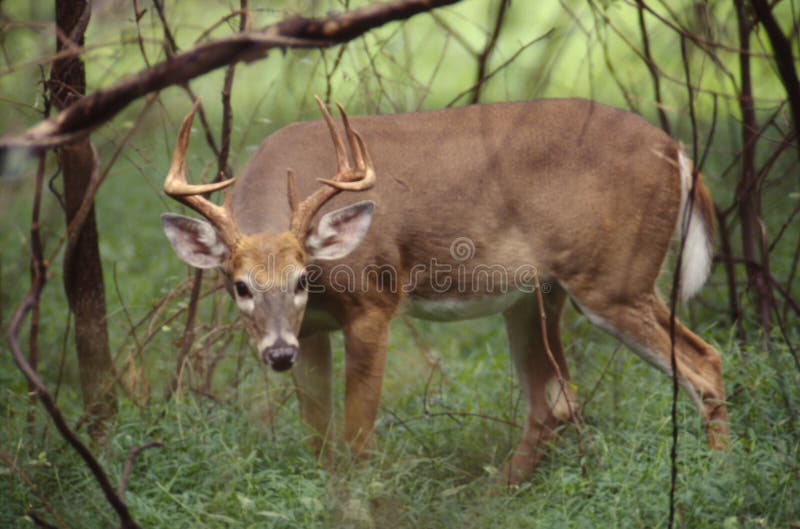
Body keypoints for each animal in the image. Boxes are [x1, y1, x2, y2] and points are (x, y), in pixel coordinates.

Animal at [160, 96, 728, 484]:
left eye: (302, 277)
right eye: (240, 286)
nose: (278, 352)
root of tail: (676, 151)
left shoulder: (374, 301)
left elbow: (357, 431)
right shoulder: (314, 329)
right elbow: (318, 433)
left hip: (613, 277)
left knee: (704, 361)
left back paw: (717, 474)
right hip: (537, 294)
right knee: (557, 399)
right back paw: (496, 494)